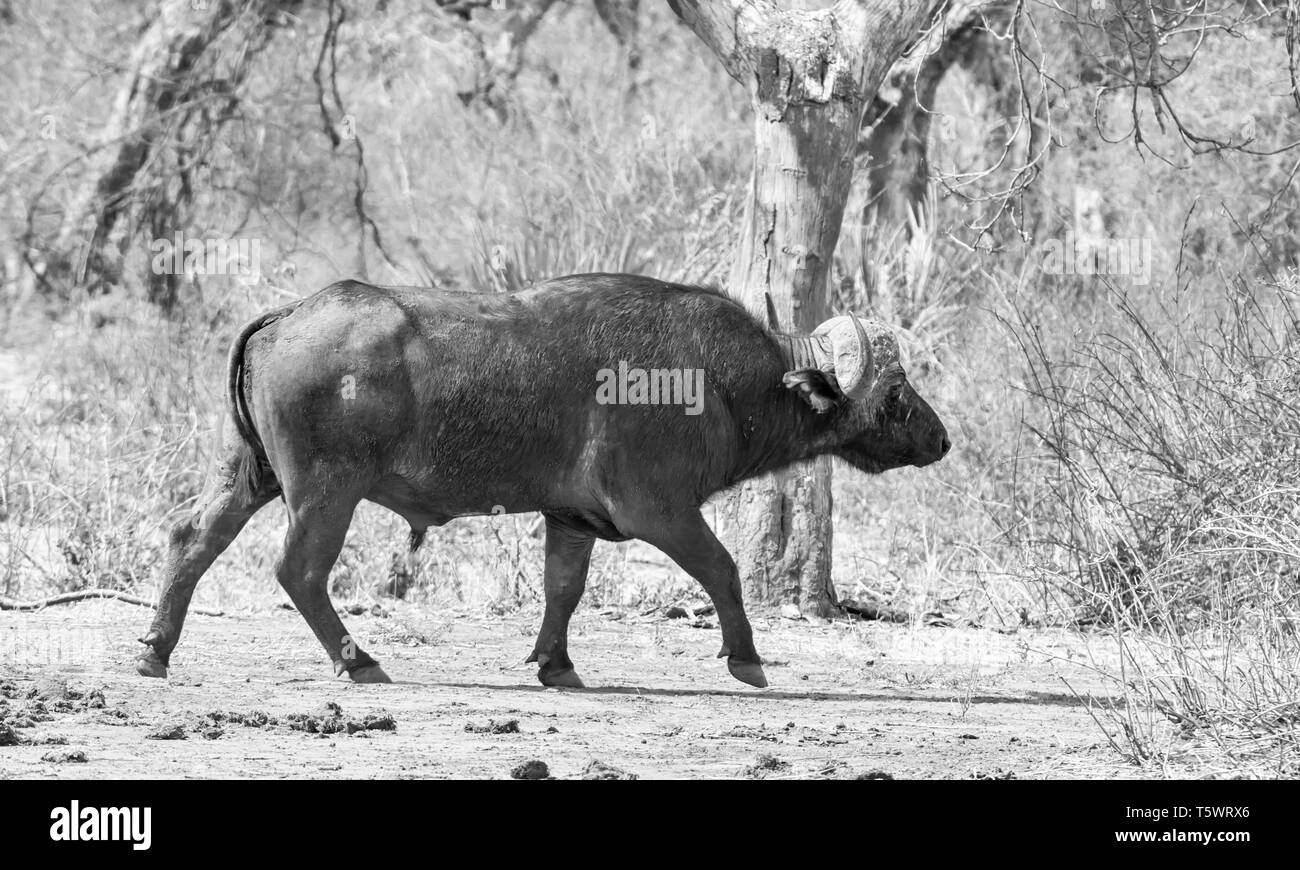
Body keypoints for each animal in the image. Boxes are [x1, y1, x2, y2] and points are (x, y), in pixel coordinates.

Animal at [136, 273, 949, 688]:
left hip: (252, 476)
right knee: (299, 570)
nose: (941, 439)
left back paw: (155, 650)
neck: (718, 380)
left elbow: (564, 588)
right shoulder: (659, 511)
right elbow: (721, 568)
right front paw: (746, 658)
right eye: (896, 391)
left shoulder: (571, 520)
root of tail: (288, 313)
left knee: (191, 537)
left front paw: (554, 664)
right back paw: (357, 659)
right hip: (324, 492)